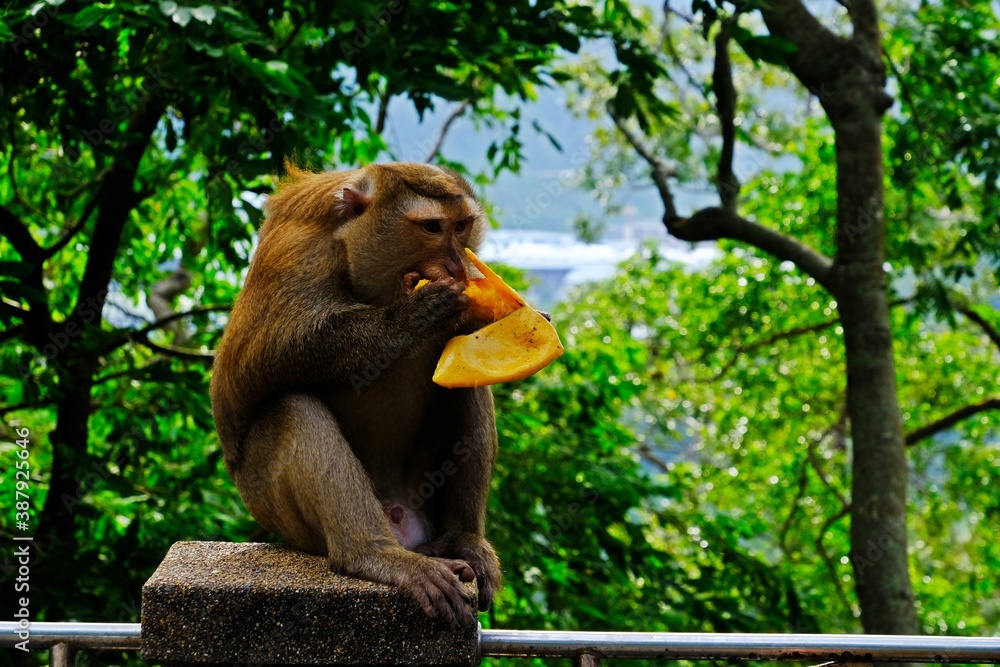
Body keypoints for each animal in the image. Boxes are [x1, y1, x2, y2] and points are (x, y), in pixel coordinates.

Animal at [210, 162, 501, 628]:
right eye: (432, 227)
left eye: (462, 226)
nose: (458, 266)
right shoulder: (301, 249)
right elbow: (276, 351)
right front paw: (418, 314)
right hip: (277, 511)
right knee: (291, 409)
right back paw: (373, 555)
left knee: (465, 380)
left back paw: (462, 540)